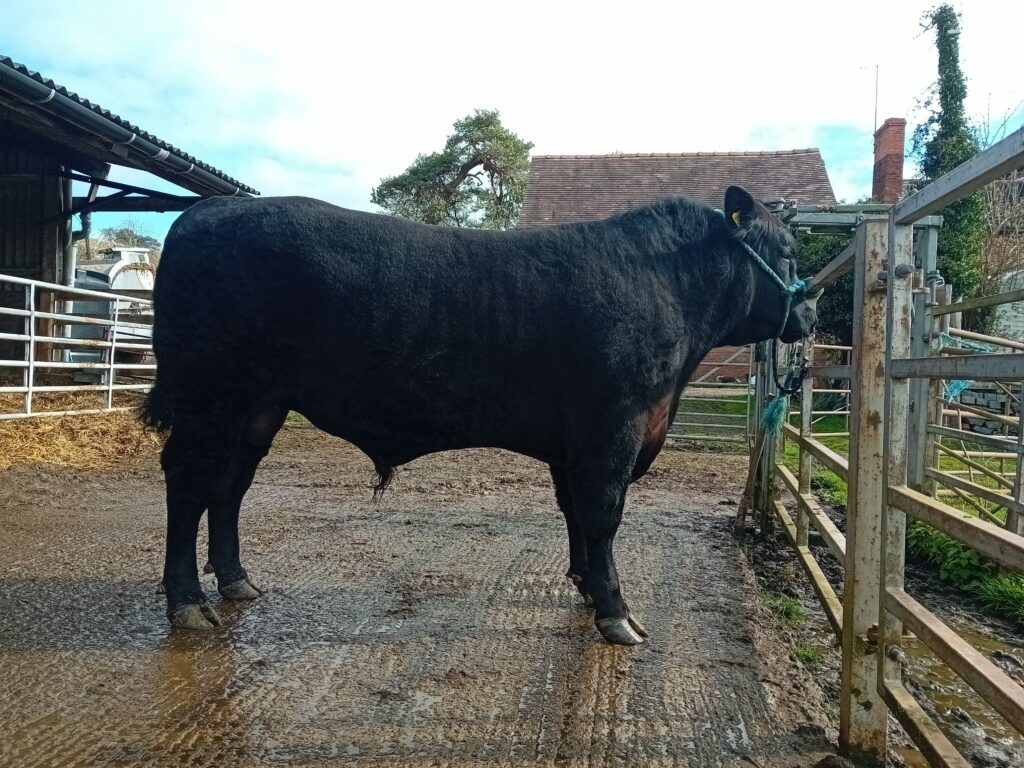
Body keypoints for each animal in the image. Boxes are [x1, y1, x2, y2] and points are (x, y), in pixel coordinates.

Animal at [145, 185, 817, 645]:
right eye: (786, 251)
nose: (810, 314)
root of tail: (207, 211)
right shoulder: (612, 429)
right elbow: (603, 517)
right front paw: (618, 615)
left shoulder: (572, 443)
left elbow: (574, 513)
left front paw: (583, 585)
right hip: (212, 397)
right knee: (188, 481)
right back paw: (188, 603)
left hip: (258, 408)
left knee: (229, 486)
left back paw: (237, 580)